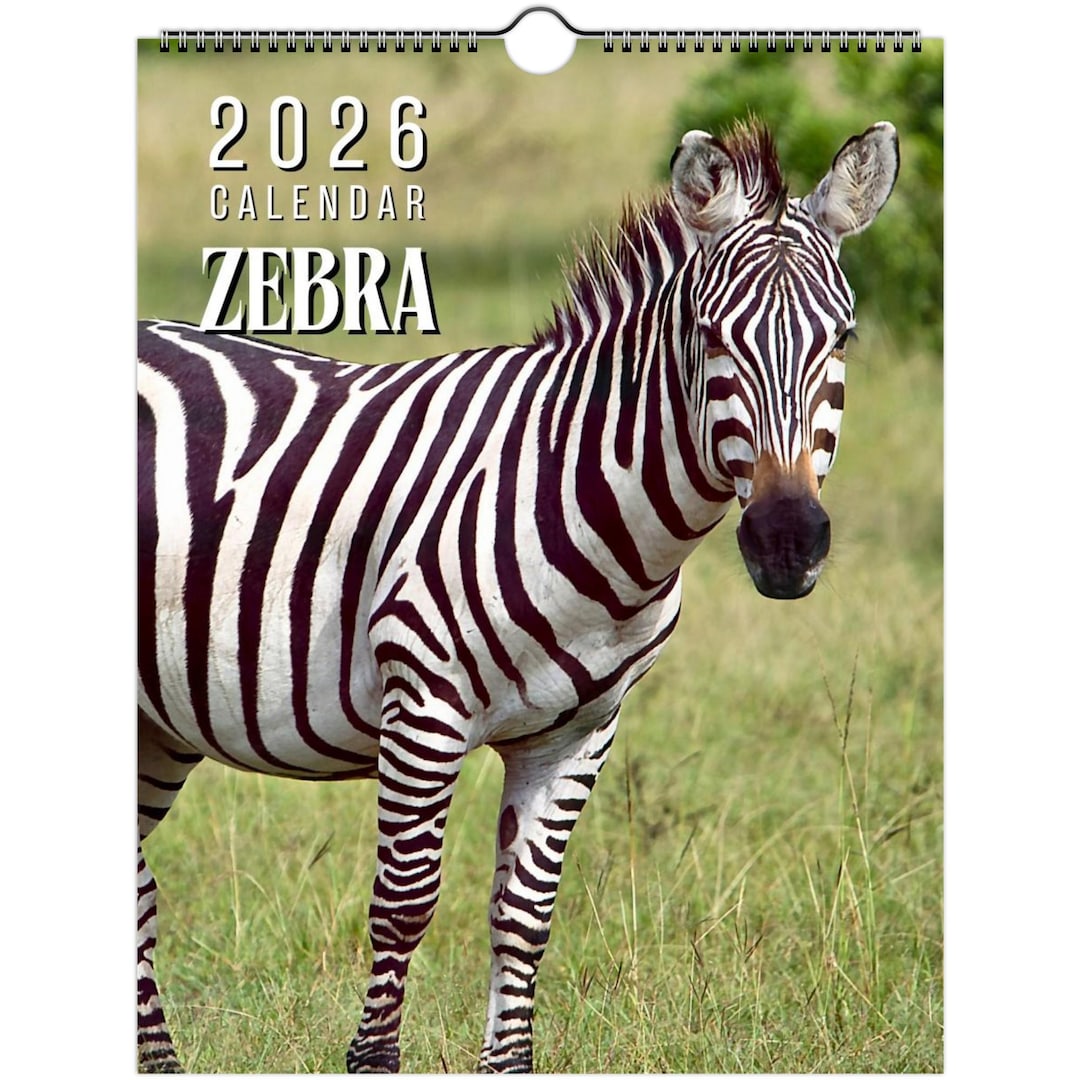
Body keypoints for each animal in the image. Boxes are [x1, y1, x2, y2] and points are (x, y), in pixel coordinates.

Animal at [137, 119, 898, 1073]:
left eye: (844, 339)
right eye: (710, 334)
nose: (787, 541)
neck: (577, 487)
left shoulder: (575, 734)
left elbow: (524, 919)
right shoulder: (422, 704)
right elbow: (405, 908)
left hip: (156, 720)